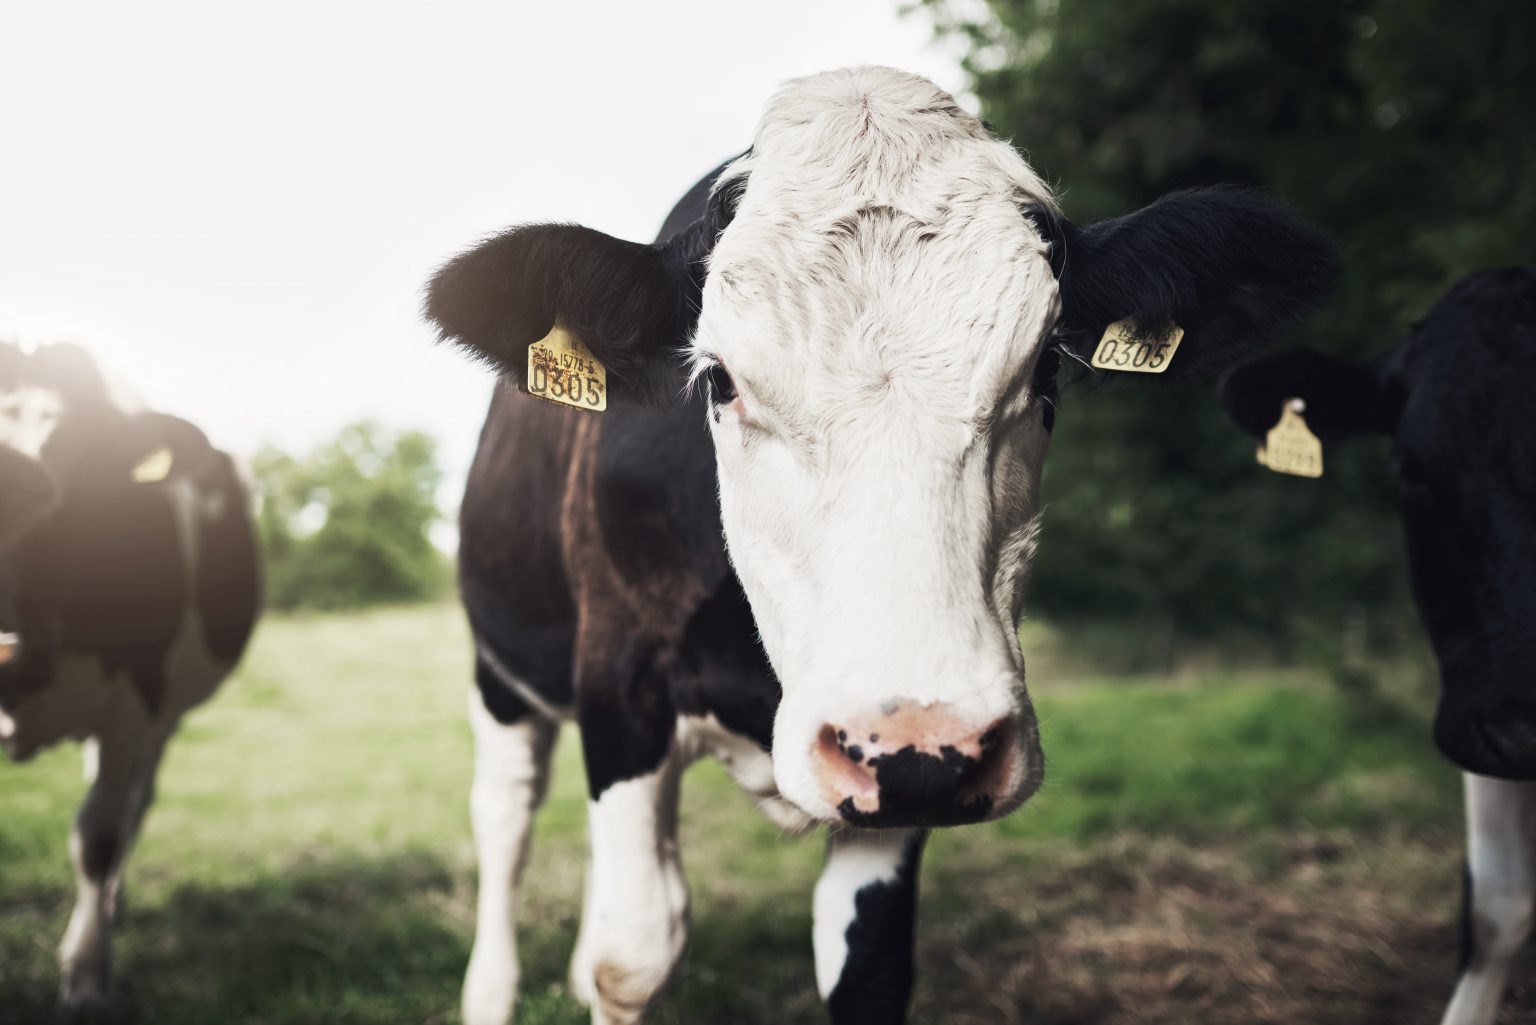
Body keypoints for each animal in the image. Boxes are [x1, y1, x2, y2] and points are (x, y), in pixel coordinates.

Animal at [0, 341, 260, 1011]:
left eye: (92, 470)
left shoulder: (132, 707)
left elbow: (98, 838)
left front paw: (88, 977)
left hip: (163, 717)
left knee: (135, 806)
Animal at [425, 67, 1338, 1025]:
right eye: (718, 379)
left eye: (1047, 367)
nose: (921, 738)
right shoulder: (620, 679)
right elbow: (630, 956)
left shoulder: (905, 771)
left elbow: (865, 963)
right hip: (502, 672)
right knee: (506, 815)